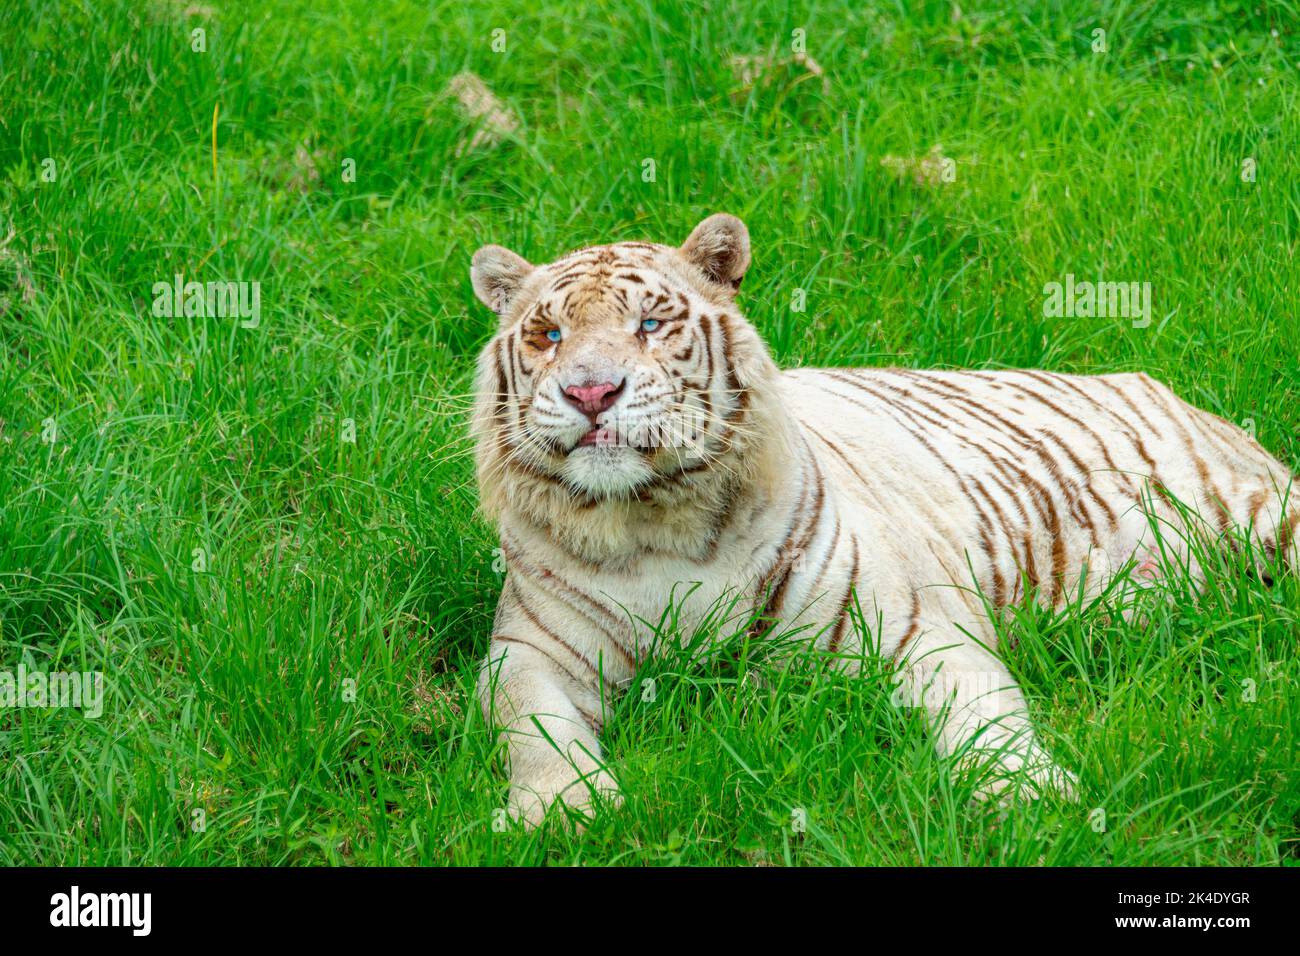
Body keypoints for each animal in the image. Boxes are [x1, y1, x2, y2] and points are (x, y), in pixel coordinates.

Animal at [468, 213, 1299, 827]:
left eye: (647, 324)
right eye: (549, 336)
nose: (591, 392)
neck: (653, 524)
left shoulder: (920, 628)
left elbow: (986, 721)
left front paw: (1031, 795)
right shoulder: (529, 650)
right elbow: (535, 730)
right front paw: (564, 812)